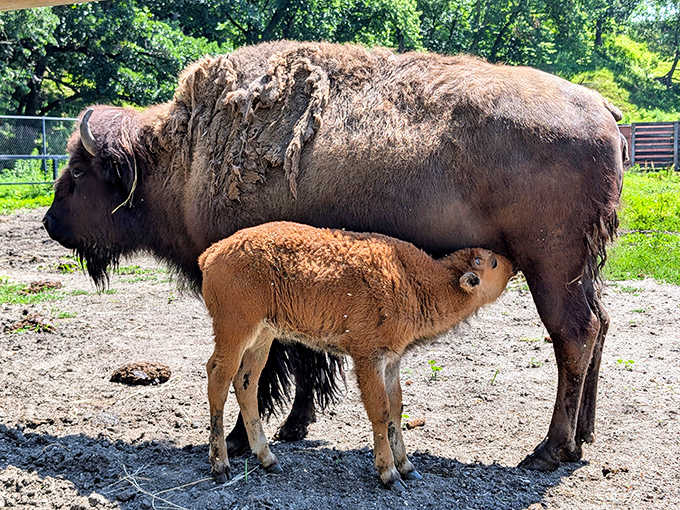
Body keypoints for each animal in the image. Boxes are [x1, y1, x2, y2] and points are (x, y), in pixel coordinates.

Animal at [43, 40, 626, 471]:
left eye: (79, 172)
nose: (50, 223)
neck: (183, 156)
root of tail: (603, 110)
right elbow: (304, 360)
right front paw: (293, 427)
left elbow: (272, 368)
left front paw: (248, 438)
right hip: (581, 269)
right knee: (600, 325)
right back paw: (585, 436)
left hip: (552, 267)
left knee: (573, 335)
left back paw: (549, 450)